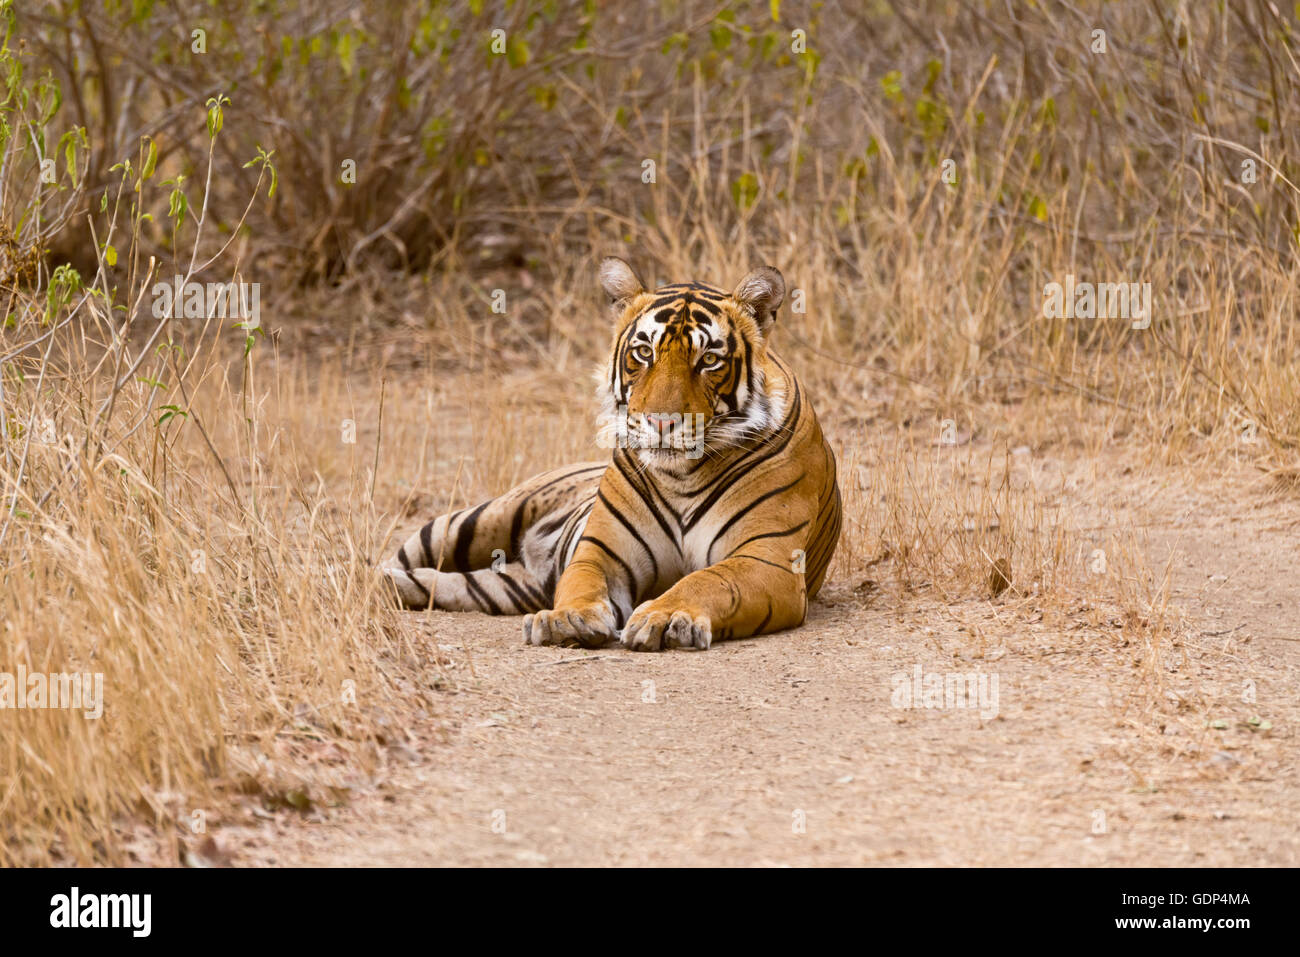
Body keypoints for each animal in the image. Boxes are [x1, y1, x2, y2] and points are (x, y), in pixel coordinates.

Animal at [382, 258, 842, 651]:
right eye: (644, 353)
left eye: (709, 359)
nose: (661, 423)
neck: (681, 476)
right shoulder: (602, 551)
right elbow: (582, 583)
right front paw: (566, 619)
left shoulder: (767, 560)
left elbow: (708, 581)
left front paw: (665, 616)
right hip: (474, 520)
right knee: (400, 557)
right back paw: (375, 580)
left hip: (503, 587)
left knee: (447, 583)